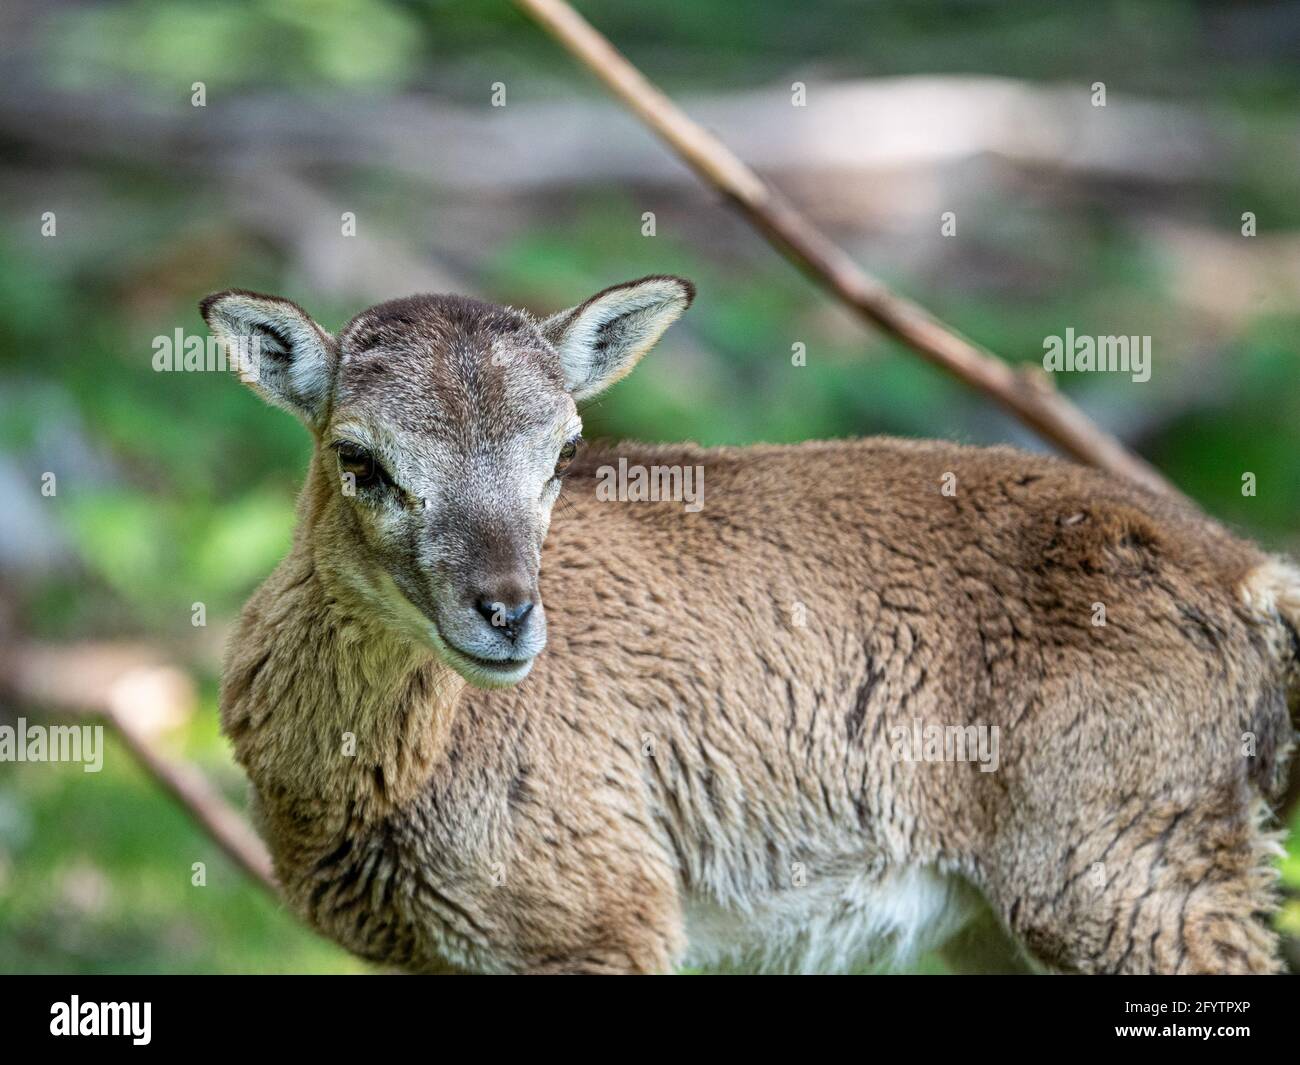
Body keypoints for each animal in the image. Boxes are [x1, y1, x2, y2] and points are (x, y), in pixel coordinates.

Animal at [200, 275, 1300, 974]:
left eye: (564, 452)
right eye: (358, 458)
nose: (507, 615)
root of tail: (1251, 586)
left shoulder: (603, 921)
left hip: (1130, 878)